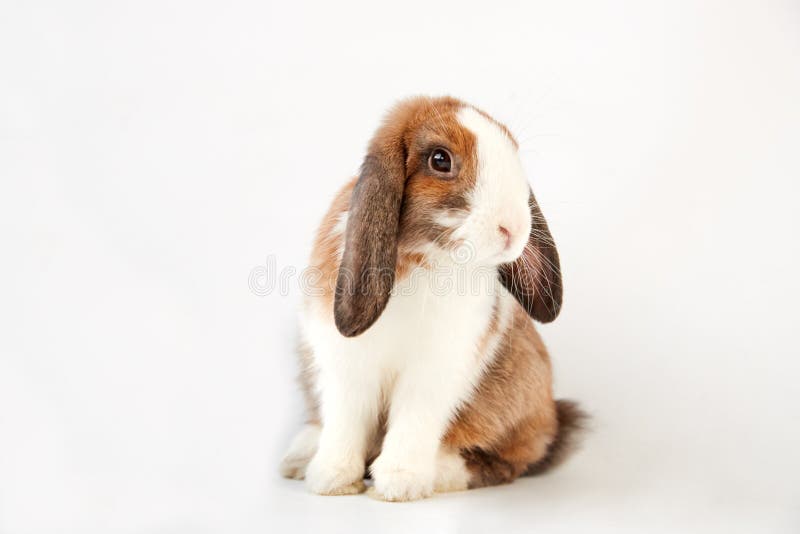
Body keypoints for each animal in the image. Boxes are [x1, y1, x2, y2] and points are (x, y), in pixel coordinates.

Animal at [279, 96, 586, 501]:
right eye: (440, 160)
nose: (515, 227)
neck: (421, 259)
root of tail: (554, 416)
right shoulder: (346, 363)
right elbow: (346, 418)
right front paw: (333, 480)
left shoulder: (437, 369)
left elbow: (414, 420)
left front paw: (398, 484)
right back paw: (299, 458)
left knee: (505, 463)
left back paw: (442, 472)